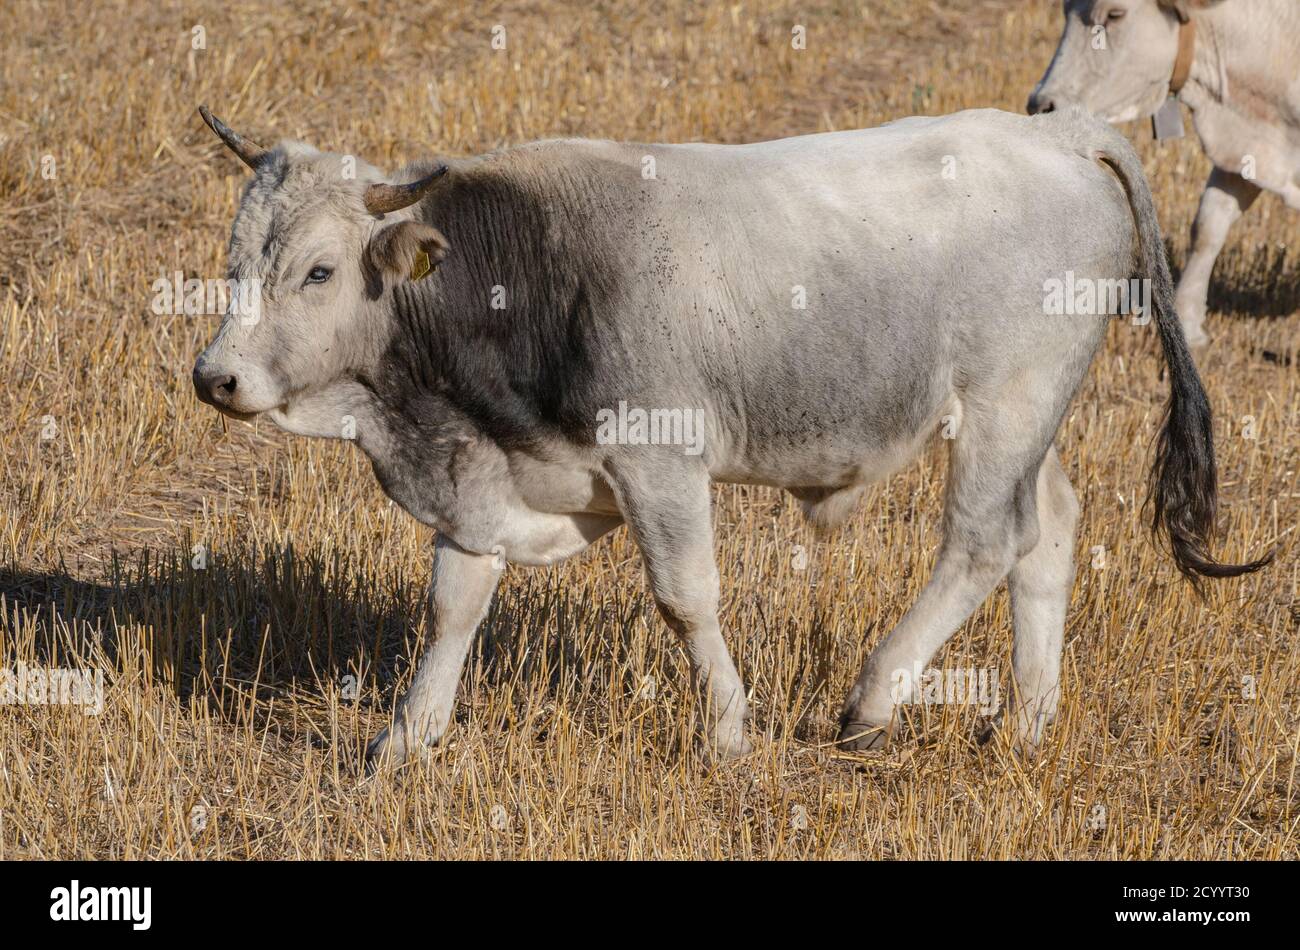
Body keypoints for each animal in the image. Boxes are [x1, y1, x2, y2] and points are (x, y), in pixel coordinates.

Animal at [192, 103, 1268, 770]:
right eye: (237, 259)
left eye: (320, 270)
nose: (216, 377)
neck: (531, 269)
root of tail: (1066, 133)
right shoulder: (485, 482)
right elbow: (454, 603)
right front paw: (407, 737)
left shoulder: (660, 463)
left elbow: (686, 598)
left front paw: (727, 729)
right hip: (1025, 421)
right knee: (1047, 531)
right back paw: (1026, 720)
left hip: (1004, 407)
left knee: (982, 543)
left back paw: (873, 700)